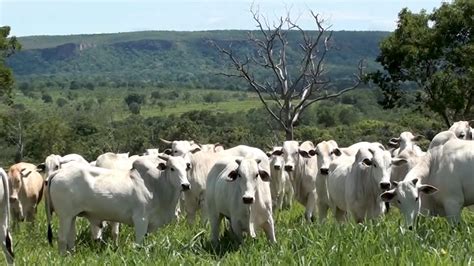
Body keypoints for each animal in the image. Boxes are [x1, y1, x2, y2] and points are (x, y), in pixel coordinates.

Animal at [46, 155, 189, 255]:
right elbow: (139, 243)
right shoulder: (141, 220)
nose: (186, 185)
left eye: (186, 168)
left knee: (71, 238)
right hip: (65, 216)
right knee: (62, 238)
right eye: (172, 168)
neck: (155, 186)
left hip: (72, 216)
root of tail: (57, 173)